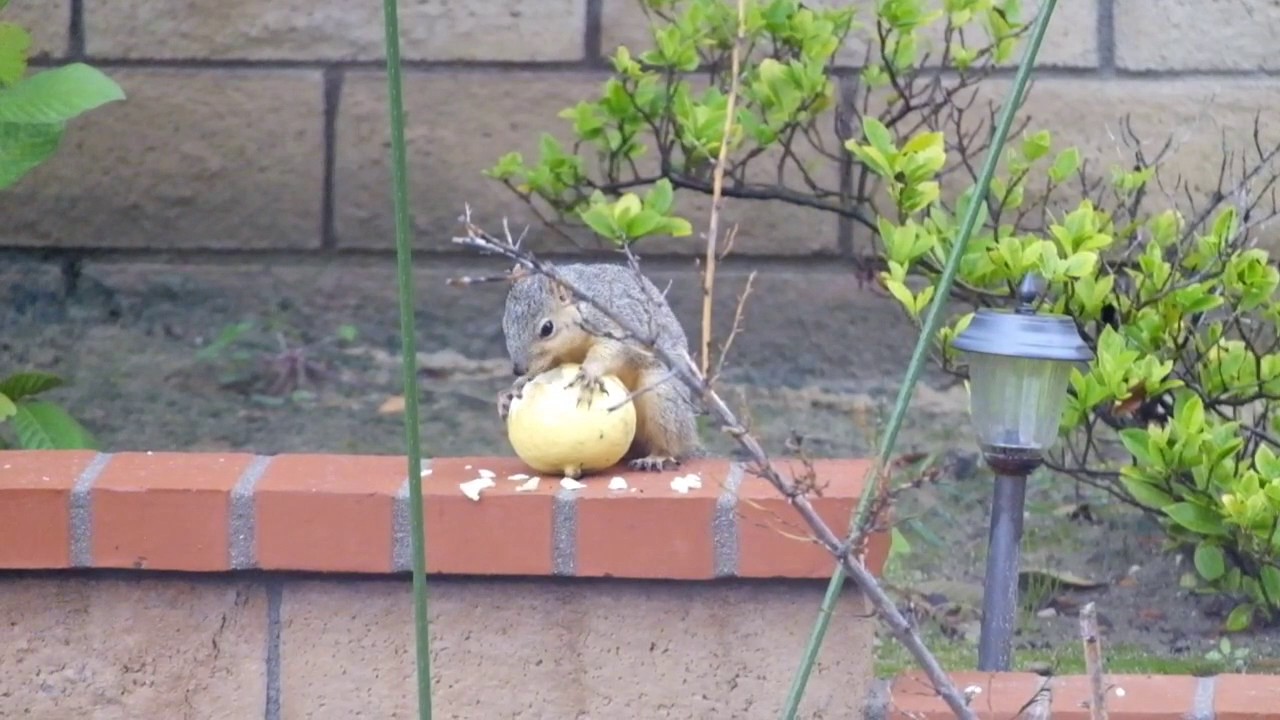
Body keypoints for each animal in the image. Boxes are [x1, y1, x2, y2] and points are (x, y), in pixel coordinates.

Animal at [496, 262, 702, 473]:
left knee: (671, 441)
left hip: (661, 395)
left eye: (547, 328)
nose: (518, 369)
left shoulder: (612, 326)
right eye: (505, 325)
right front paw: (512, 390)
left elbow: (609, 351)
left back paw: (656, 457)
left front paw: (589, 373)